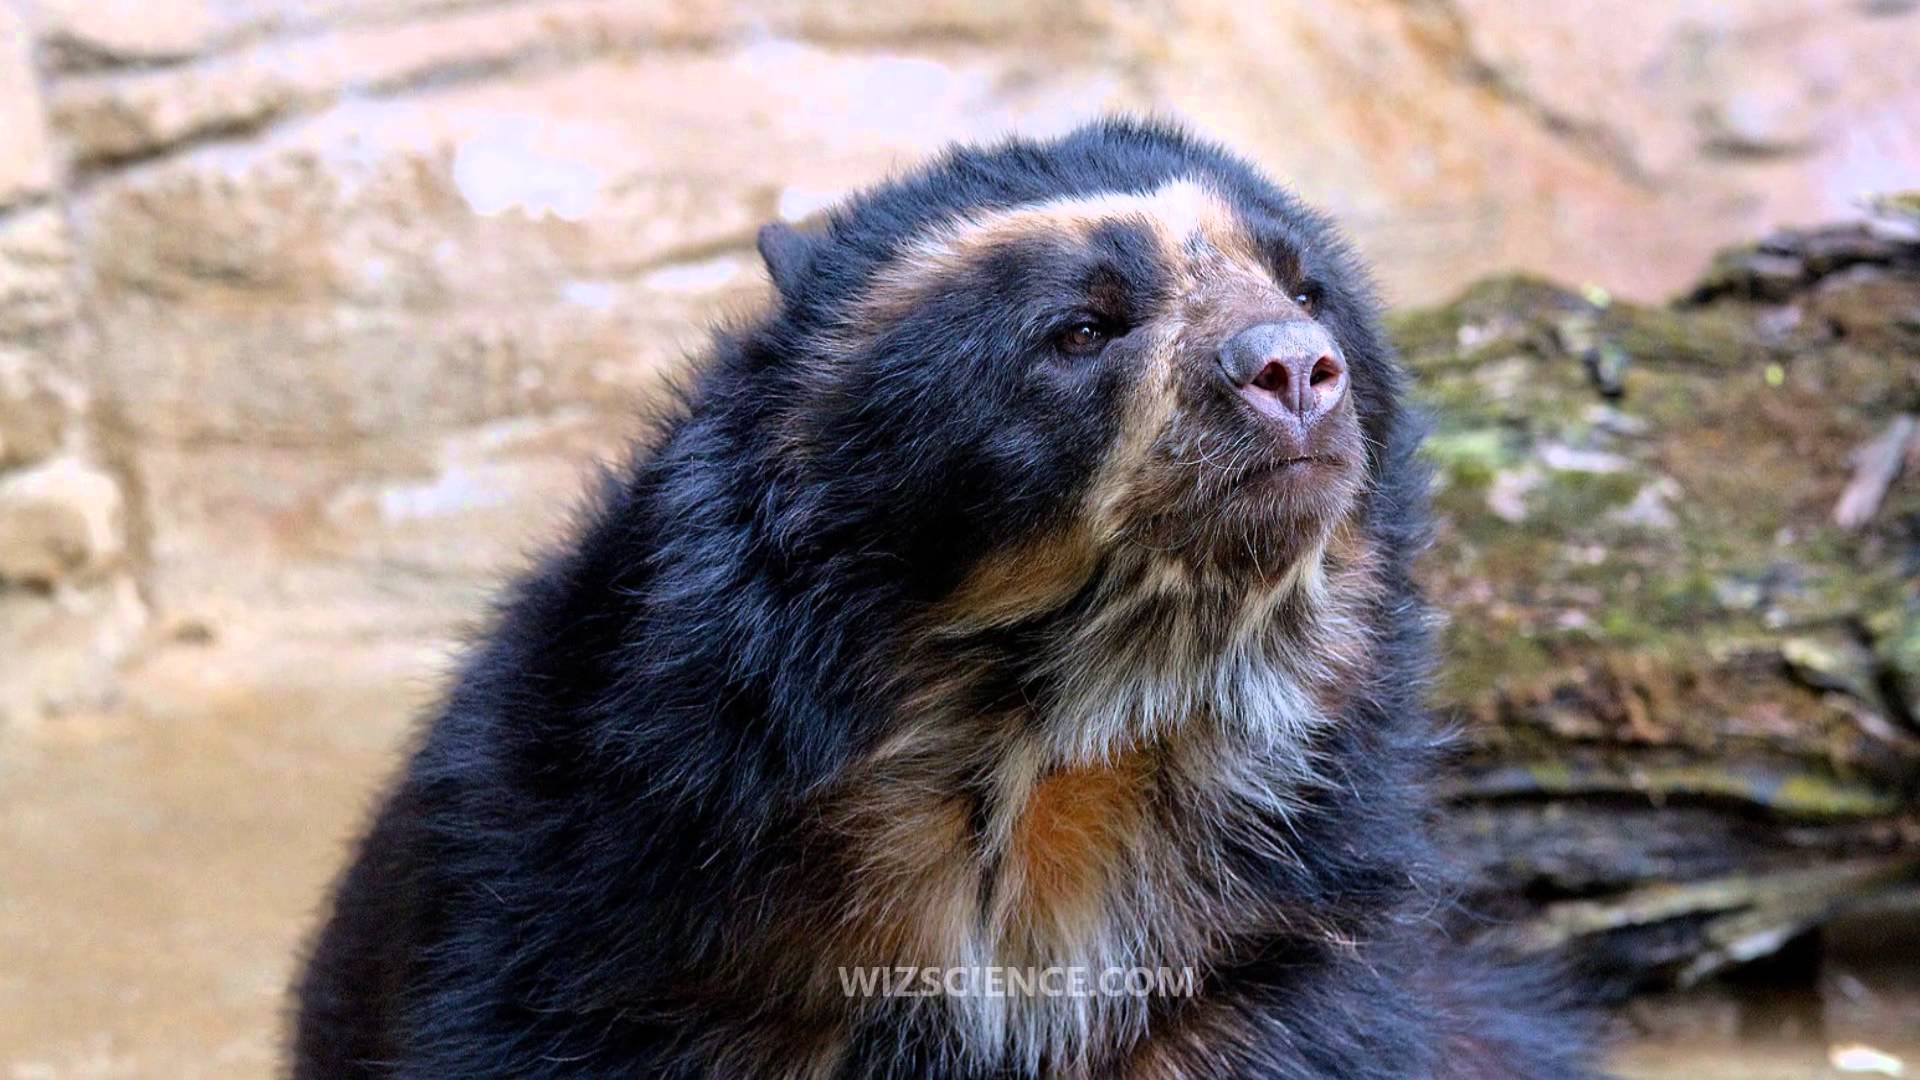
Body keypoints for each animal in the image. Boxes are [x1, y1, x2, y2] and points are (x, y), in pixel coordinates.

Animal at [291, 118, 1600, 1079]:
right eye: (1079, 329)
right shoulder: (600, 916)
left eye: (1310, 290)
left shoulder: (1265, 952)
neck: (1057, 743)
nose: (1293, 370)